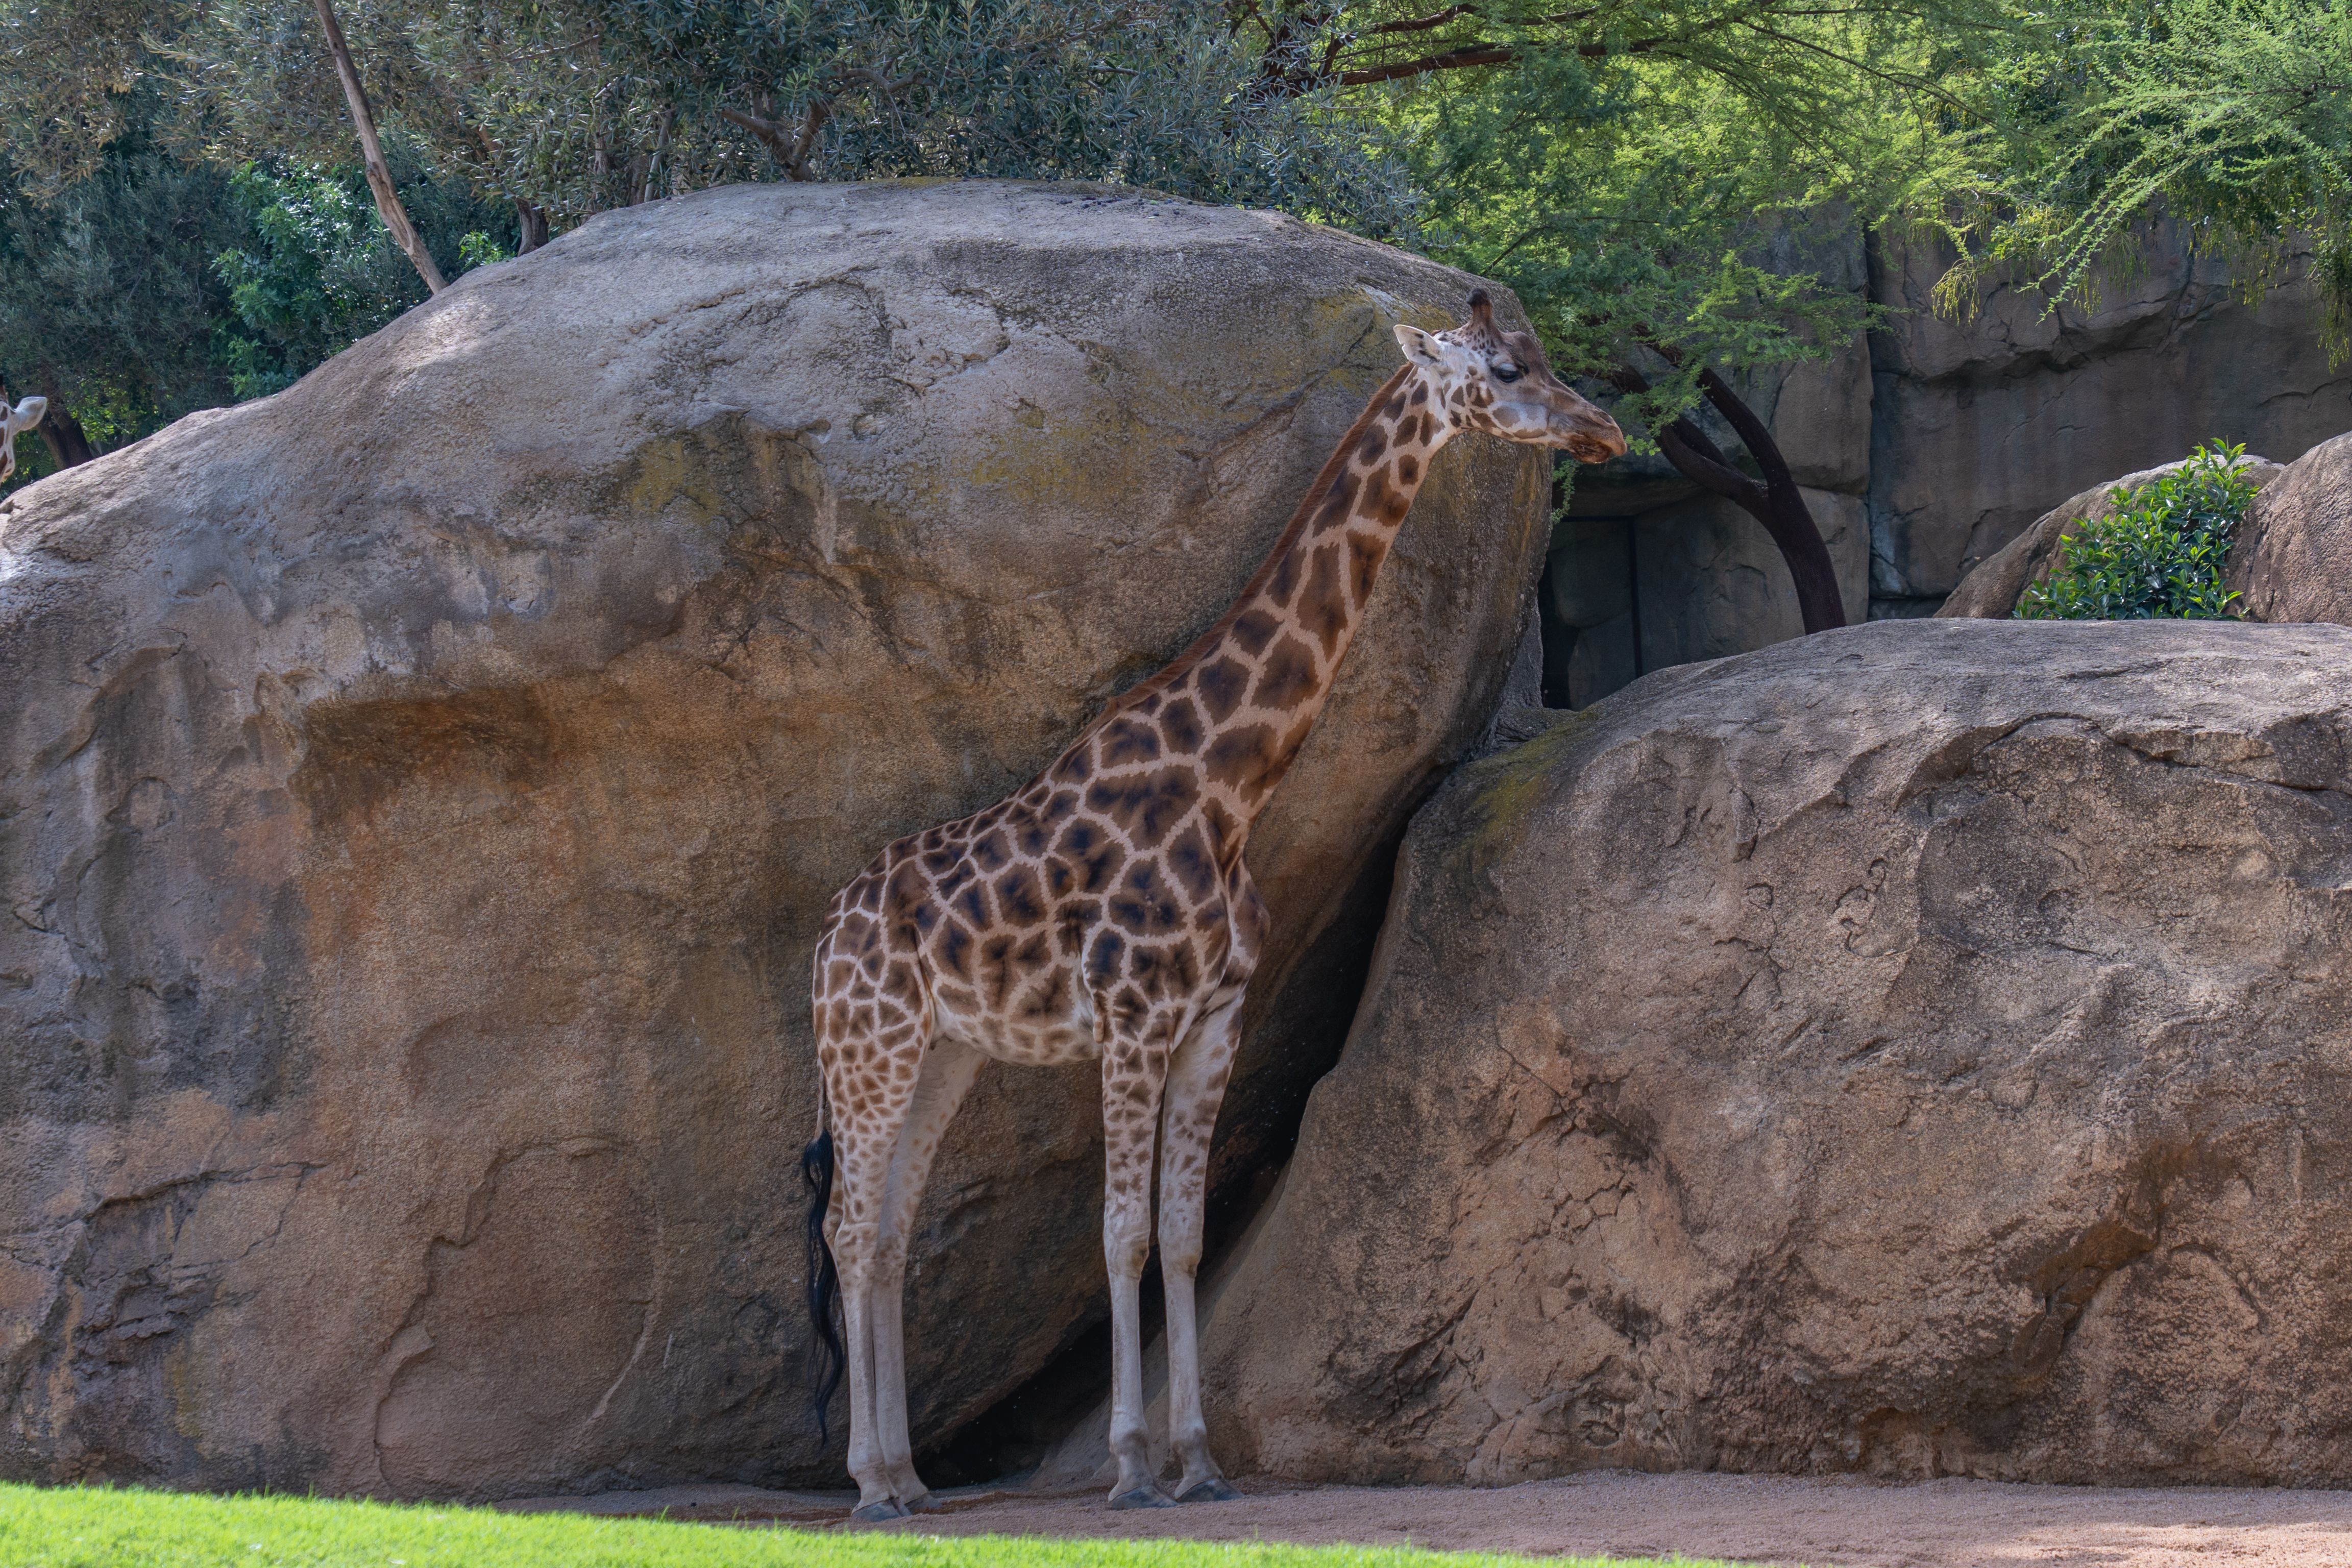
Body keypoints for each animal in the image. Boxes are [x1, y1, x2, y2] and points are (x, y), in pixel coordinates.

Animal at [803, 290, 1625, 1520]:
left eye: (1540, 357)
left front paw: (1199, 1460)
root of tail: (822, 941)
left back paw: (907, 1479)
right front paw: (1131, 1468)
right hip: (870, 1046)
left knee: (893, 1229)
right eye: (1502, 369)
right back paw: (866, 1485)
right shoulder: (1133, 1022)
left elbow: (1184, 1238)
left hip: (944, 1054)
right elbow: (1120, 1237)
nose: (1602, 430)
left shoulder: (1213, 1023)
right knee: (850, 1228)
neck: (1226, 787)